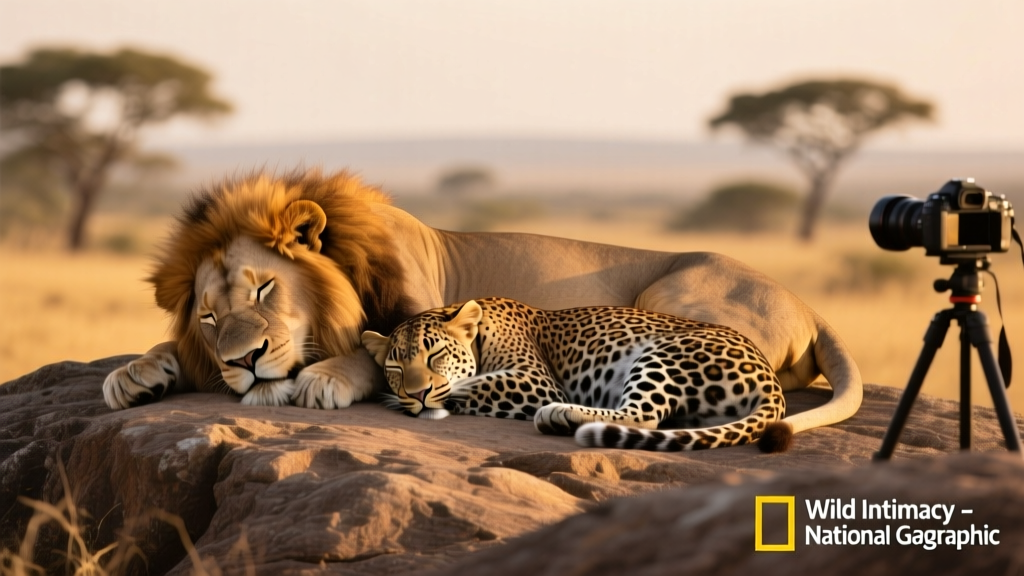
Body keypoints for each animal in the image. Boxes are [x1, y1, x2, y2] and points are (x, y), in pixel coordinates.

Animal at [103, 168, 862, 436]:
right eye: (208, 316)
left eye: (265, 289)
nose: (246, 360)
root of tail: (808, 303)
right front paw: (135, 372)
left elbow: (370, 356)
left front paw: (322, 378)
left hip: (673, 293)